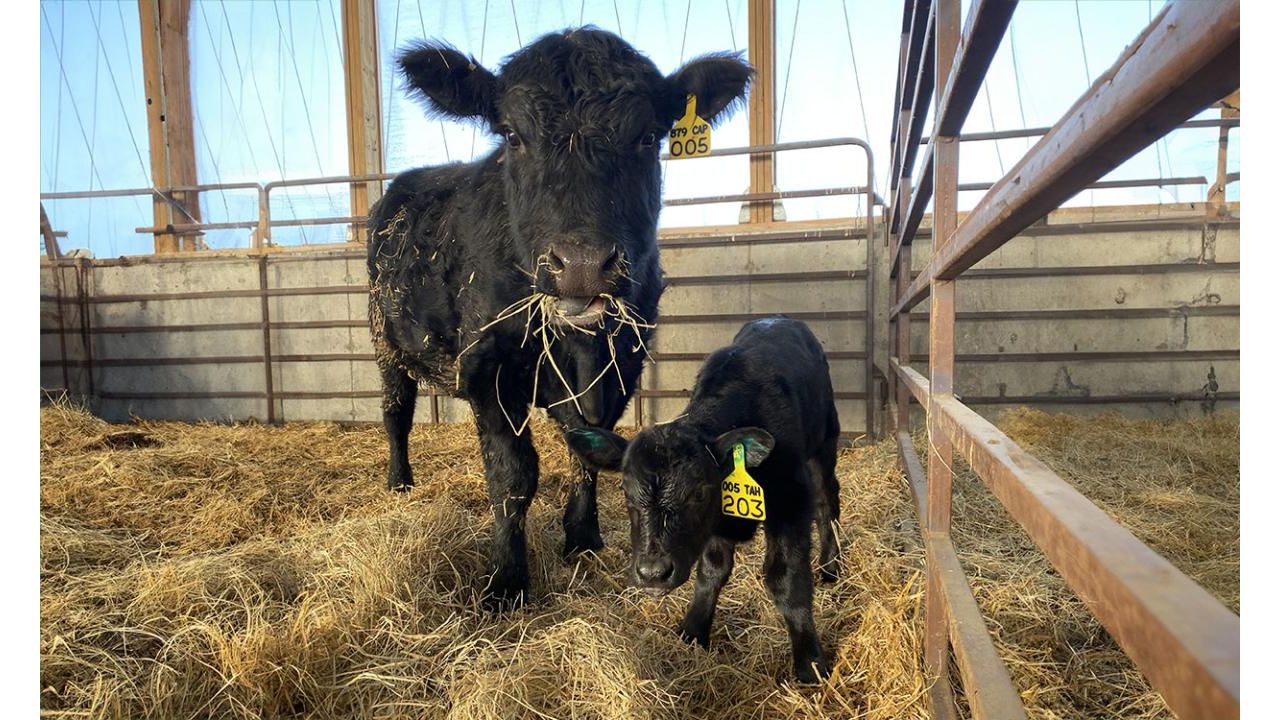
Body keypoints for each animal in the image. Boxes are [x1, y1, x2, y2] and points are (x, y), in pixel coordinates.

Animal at [366, 27, 752, 610]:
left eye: (648, 136)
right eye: (511, 135)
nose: (582, 264)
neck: (577, 345)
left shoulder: (622, 364)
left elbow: (589, 448)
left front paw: (583, 535)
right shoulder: (487, 370)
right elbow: (512, 474)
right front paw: (506, 579)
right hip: (383, 338)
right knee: (396, 413)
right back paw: (399, 481)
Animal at [566, 316, 842, 683]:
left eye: (698, 491)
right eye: (625, 490)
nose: (653, 573)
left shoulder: (791, 500)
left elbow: (786, 579)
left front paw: (809, 661)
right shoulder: (715, 524)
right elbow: (711, 570)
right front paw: (693, 630)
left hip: (825, 442)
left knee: (828, 499)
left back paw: (831, 567)